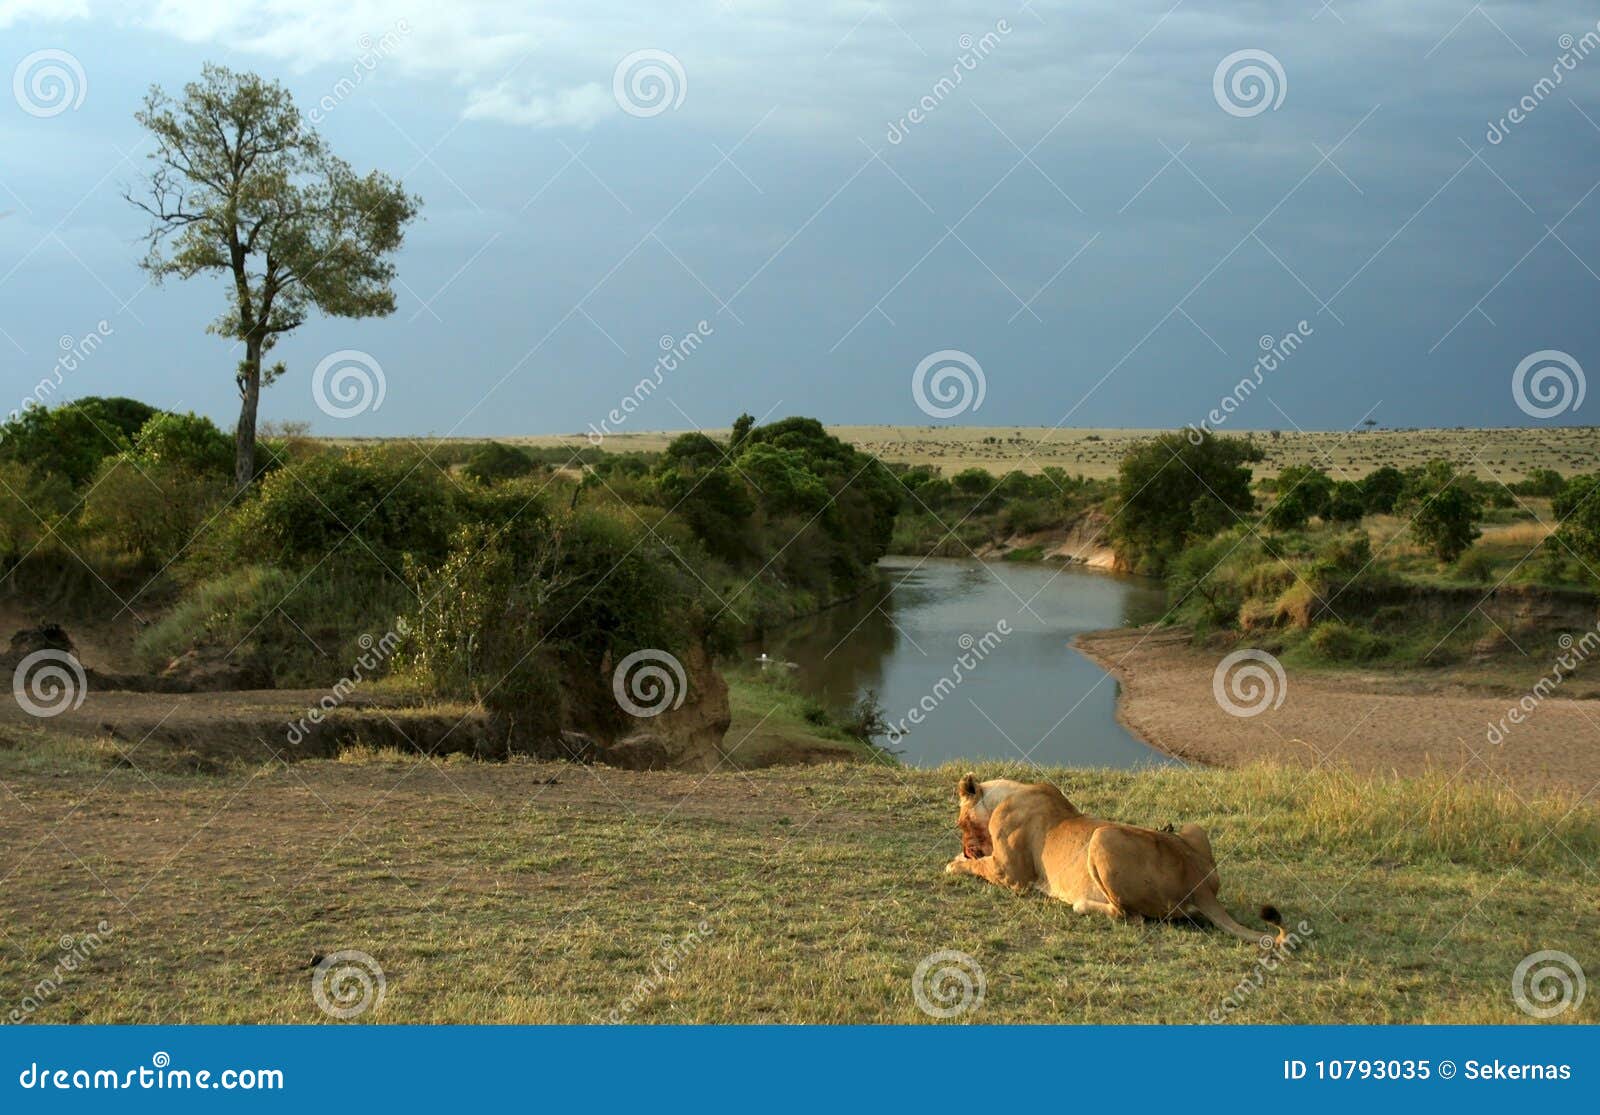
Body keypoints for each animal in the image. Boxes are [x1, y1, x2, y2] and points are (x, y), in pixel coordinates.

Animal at [946, 773, 1285, 946]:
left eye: (960, 823)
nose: (967, 848)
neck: (1006, 795)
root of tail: (1197, 881)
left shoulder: (1012, 875)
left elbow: (977, 866)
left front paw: (955, 862)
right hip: (1193, 828)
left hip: (1103, 836)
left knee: (1128, 915)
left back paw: (1080, 903)